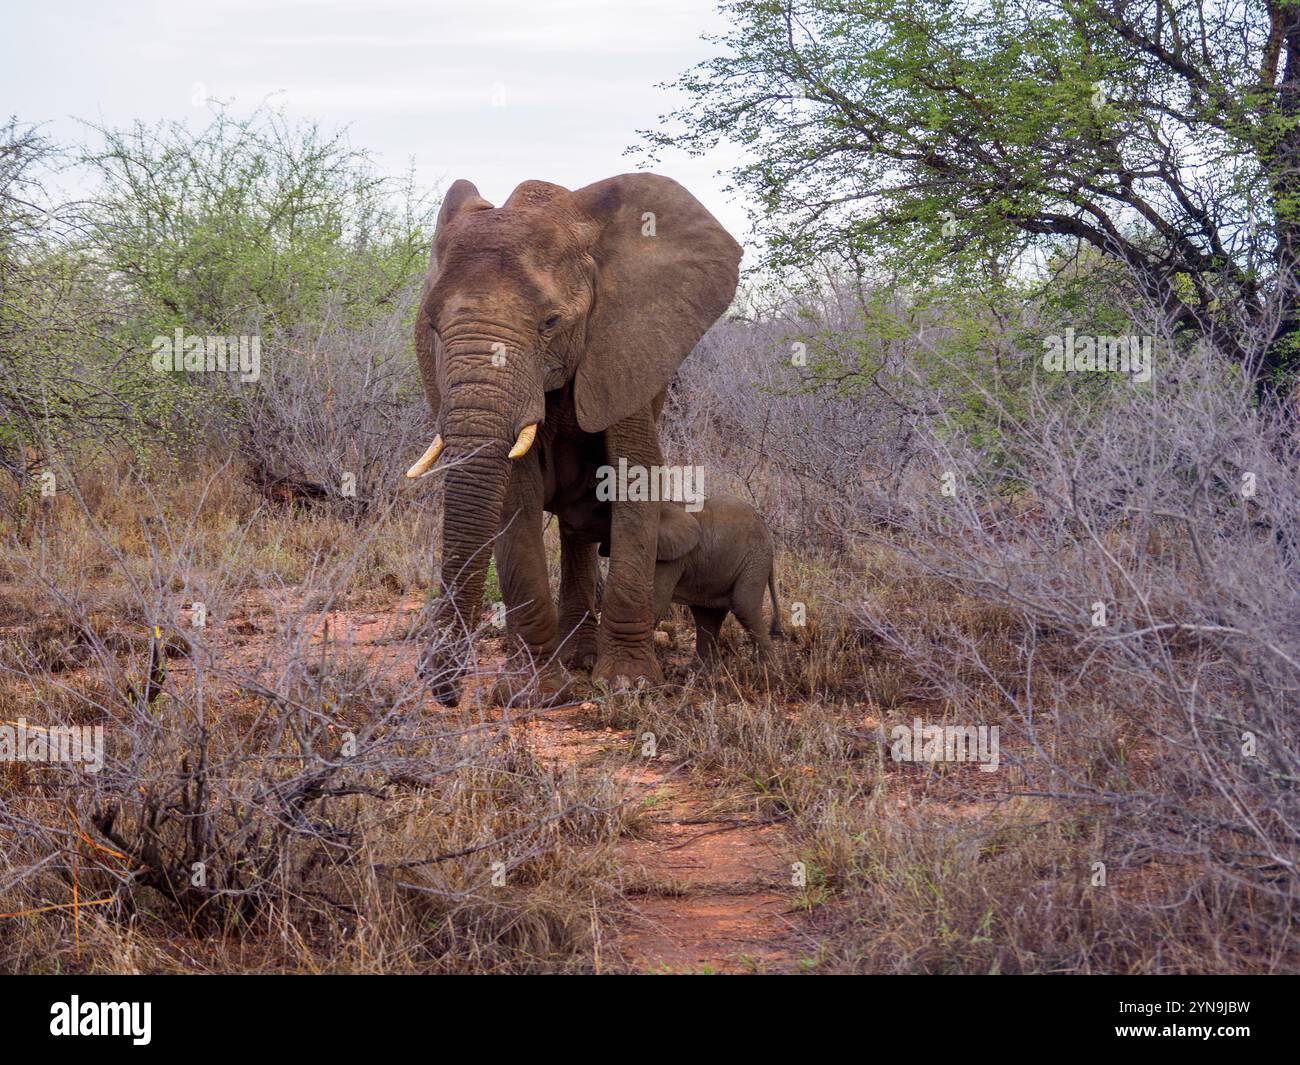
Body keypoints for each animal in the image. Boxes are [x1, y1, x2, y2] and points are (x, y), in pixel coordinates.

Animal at [405, 174, 741, 705]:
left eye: (550, 322)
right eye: (432, 326)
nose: (440, 685)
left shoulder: (624, 346)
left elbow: (635, 475)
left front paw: (628, 685)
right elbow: (514, 496)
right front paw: (536, 693)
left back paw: (584, 660)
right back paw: (573, 659)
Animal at [651, 495, 783, 666]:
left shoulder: (670, 558)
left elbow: (655, 603)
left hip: (755, 560)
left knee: (745, 607)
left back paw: (769, 671)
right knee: (707, 615)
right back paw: (696, 671)